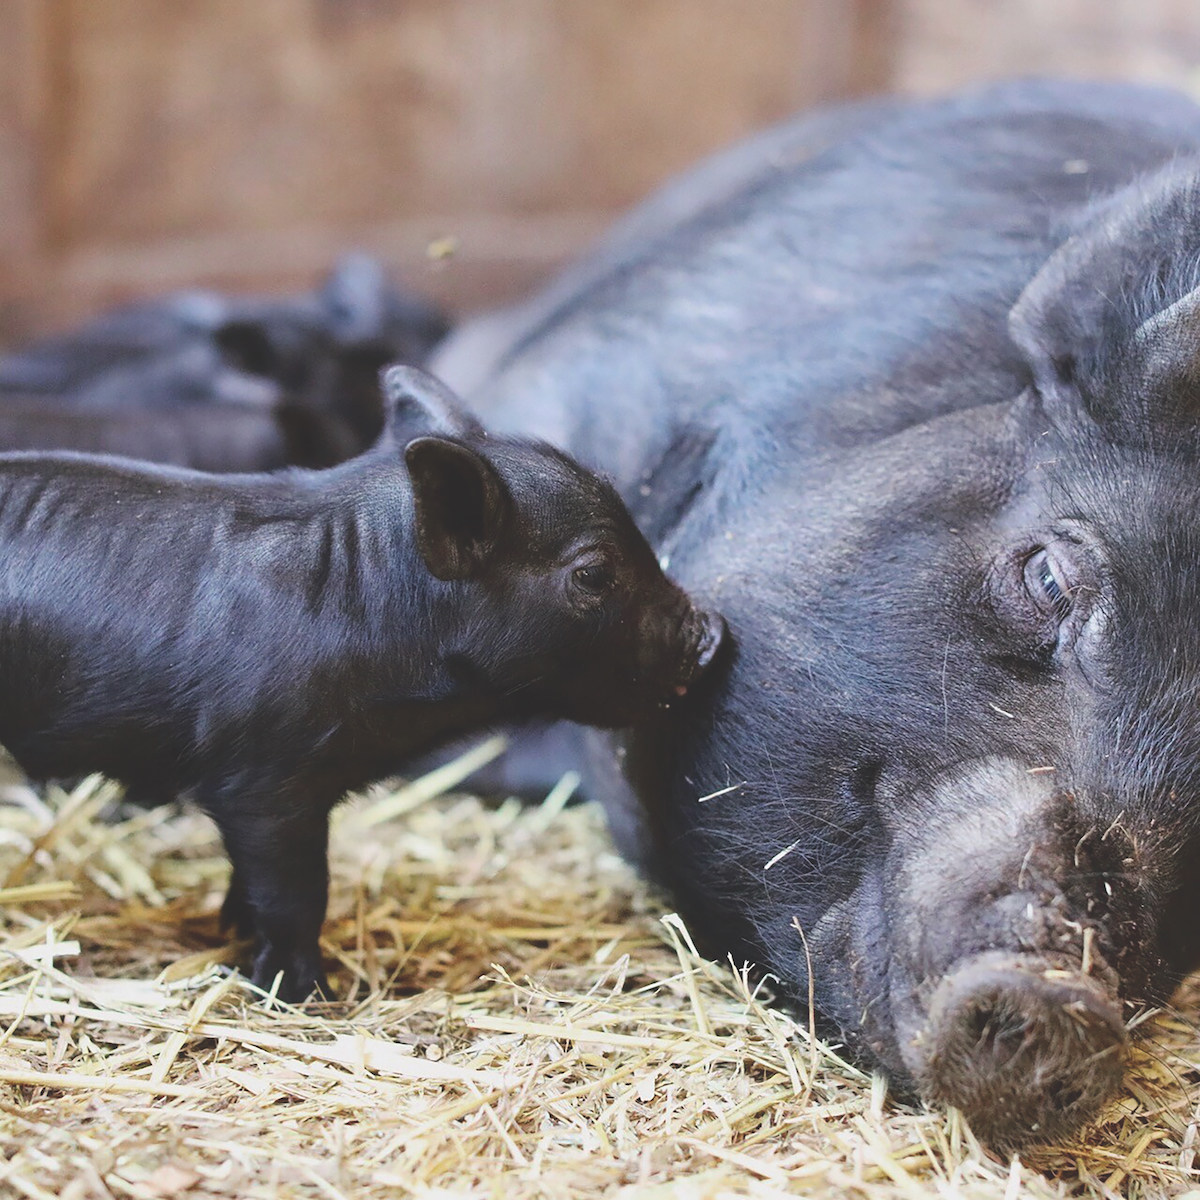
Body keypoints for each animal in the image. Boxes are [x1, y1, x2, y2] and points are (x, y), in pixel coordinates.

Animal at [0, 366, 724, 1003]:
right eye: (595, 573)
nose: (713, 632)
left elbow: (250, 887)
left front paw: (234, 936)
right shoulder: (263, 780)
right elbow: (294, 896)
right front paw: (306, 994)